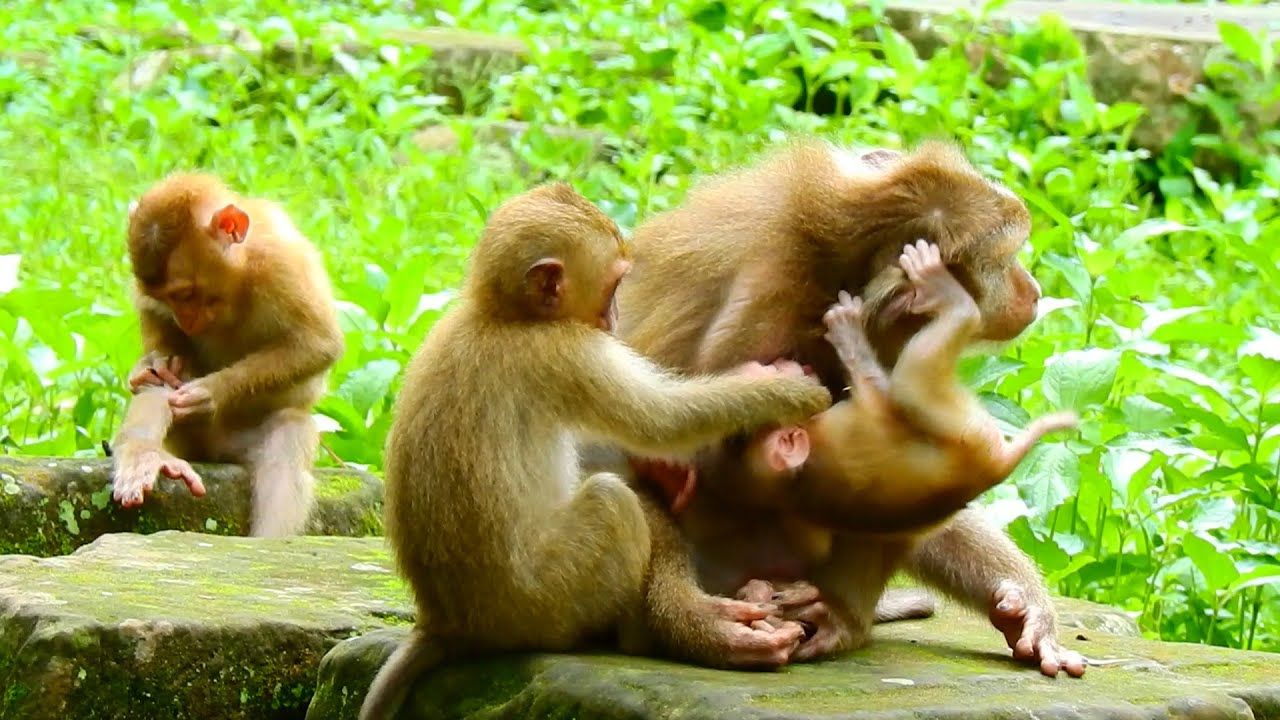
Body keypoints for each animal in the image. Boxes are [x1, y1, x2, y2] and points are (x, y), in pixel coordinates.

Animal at [110, 172, 344, 538]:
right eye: (167, 298)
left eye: (186, 293)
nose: (185, 320)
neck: (240, 275)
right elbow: (160, 352)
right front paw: (153, 366)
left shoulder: (283, 262)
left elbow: (318, 344)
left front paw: (208, 393)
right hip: (187, 443)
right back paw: (146, 453)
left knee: (288, 435)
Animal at [359, 182, 833, 720]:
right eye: (614, 285)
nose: (615, 317)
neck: (501, 316)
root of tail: (447, 623)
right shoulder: (571, 352)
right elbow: (662, 420)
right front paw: (788, 391)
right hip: (544, 605)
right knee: (612, 502)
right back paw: (639, 636)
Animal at [616, 138, 1088, 678]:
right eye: (1007, 259)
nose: (1034, 291)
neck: (834, 267)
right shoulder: (755, 318)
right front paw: (698, 623)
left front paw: (1026, 604)